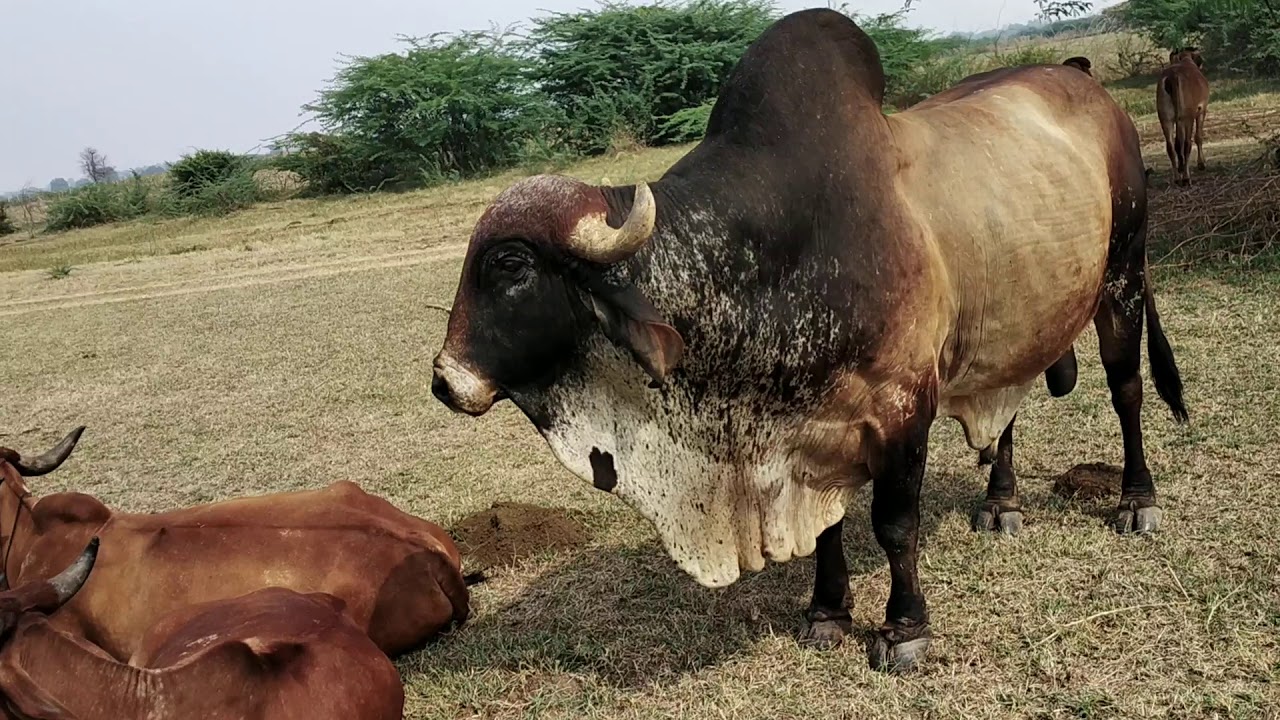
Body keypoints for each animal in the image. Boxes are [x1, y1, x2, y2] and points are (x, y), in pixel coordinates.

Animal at [429, 9, 1188, 673]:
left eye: (511, 266)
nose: (444, 378)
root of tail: (1091, 89)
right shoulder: (809, 430)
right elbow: (828, 530)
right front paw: (827, 613)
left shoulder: (902, 408)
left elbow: (895, 523)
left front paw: (904, 630)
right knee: (1007, 410)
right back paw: (1001, 503)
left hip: (1124, 273)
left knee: (1126, 391)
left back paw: (1136, 501)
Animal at [1157, 46, 1210, 185]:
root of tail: (1172, 76)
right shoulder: (1201, 111)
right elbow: (1198, 137)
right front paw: (1201, 163)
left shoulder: (1177, 120)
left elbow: (1177, 142)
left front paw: (1181, 166)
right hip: (1187, 118)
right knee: (1187, 144)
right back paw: (1186, 177)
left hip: (1166, 119)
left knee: (1171, 146)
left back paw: (1177, 177)